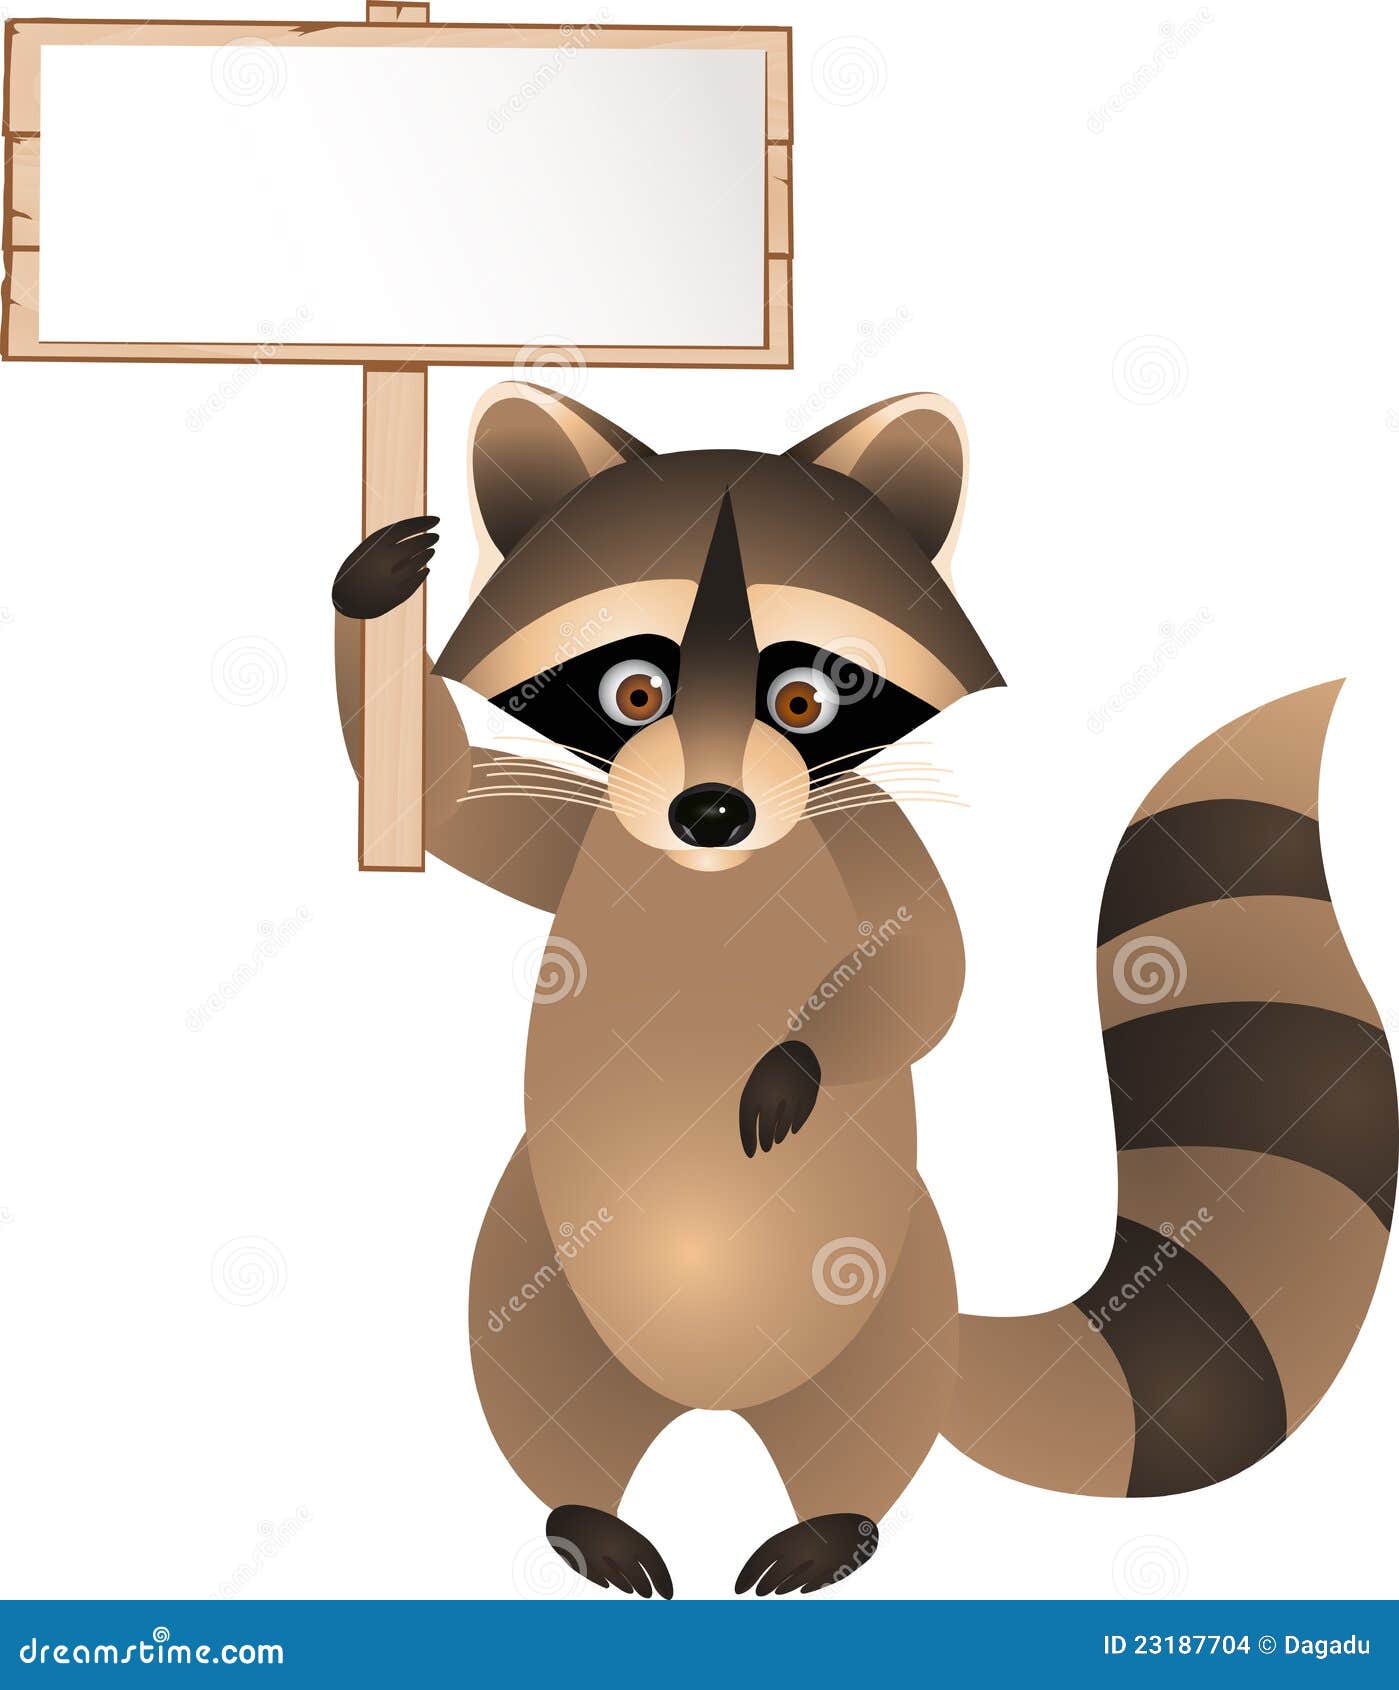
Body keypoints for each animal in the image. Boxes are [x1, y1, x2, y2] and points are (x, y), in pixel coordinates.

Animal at [332, 383, 1396, 1598]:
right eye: (634, 690)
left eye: (805, 698)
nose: (710, 812)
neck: (717, 880)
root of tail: (714, 1400)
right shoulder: (583, 834)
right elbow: (439, 795)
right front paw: (369, 593)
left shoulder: (870, 838)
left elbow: (929, 975)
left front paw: (801, 1057)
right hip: (537, 1263)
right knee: (524, 1369)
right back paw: (587, 1510)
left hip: (893, 1296)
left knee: (869, 1417)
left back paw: (831, 1520)